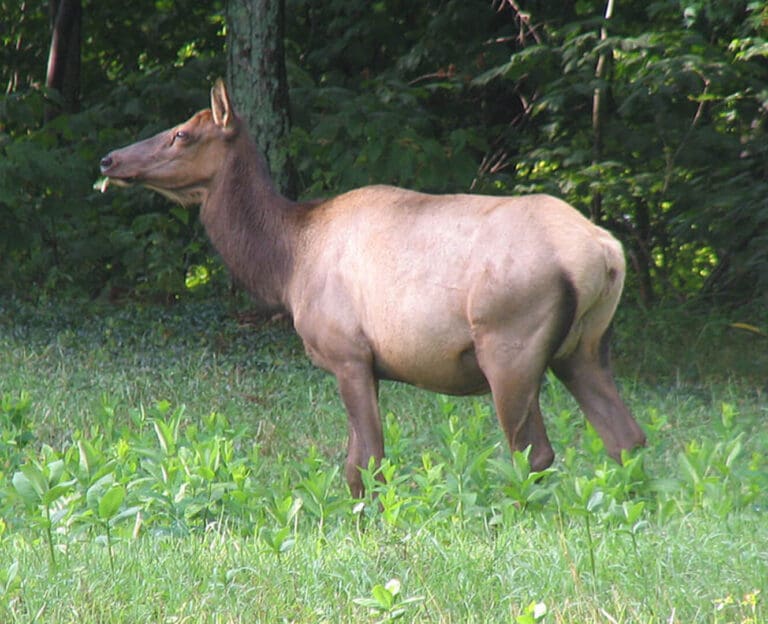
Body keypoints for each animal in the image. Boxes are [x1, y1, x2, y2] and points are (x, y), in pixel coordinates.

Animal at [99, 79, 646, 498]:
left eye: (182, 134)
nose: (109, 160)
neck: (287, 263)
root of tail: (607, 252)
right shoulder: (367, 364)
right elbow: (358, 460)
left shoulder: (347, 353)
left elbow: (366, 461)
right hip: (584, 348)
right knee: (627, 438)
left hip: (510, 344)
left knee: (533, 451)